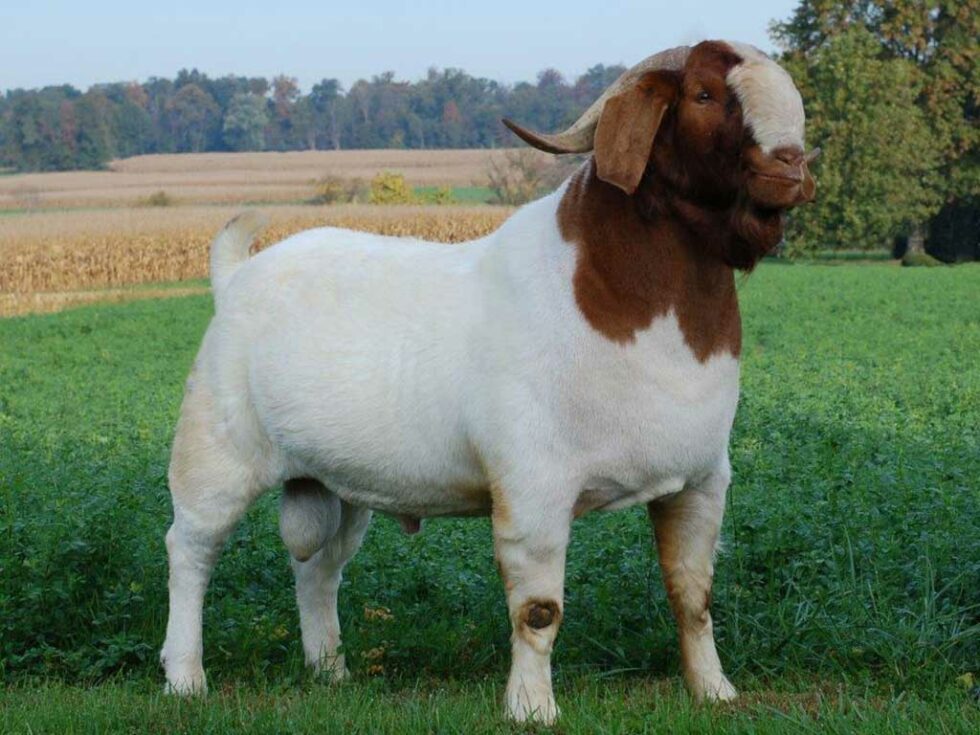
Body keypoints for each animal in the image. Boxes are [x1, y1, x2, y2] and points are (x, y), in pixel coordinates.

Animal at [160, 40, 816, 723]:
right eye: (704, 94)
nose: (793, 167)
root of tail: (236, 276)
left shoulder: (700, 480)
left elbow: (694, 596)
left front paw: (714, 691)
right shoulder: (534, 489)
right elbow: (538, 613)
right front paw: (532, 709)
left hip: (334, 483)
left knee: (318, 570)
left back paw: (330, 674)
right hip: (214, 458)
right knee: (190, 552)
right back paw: (185, 678)